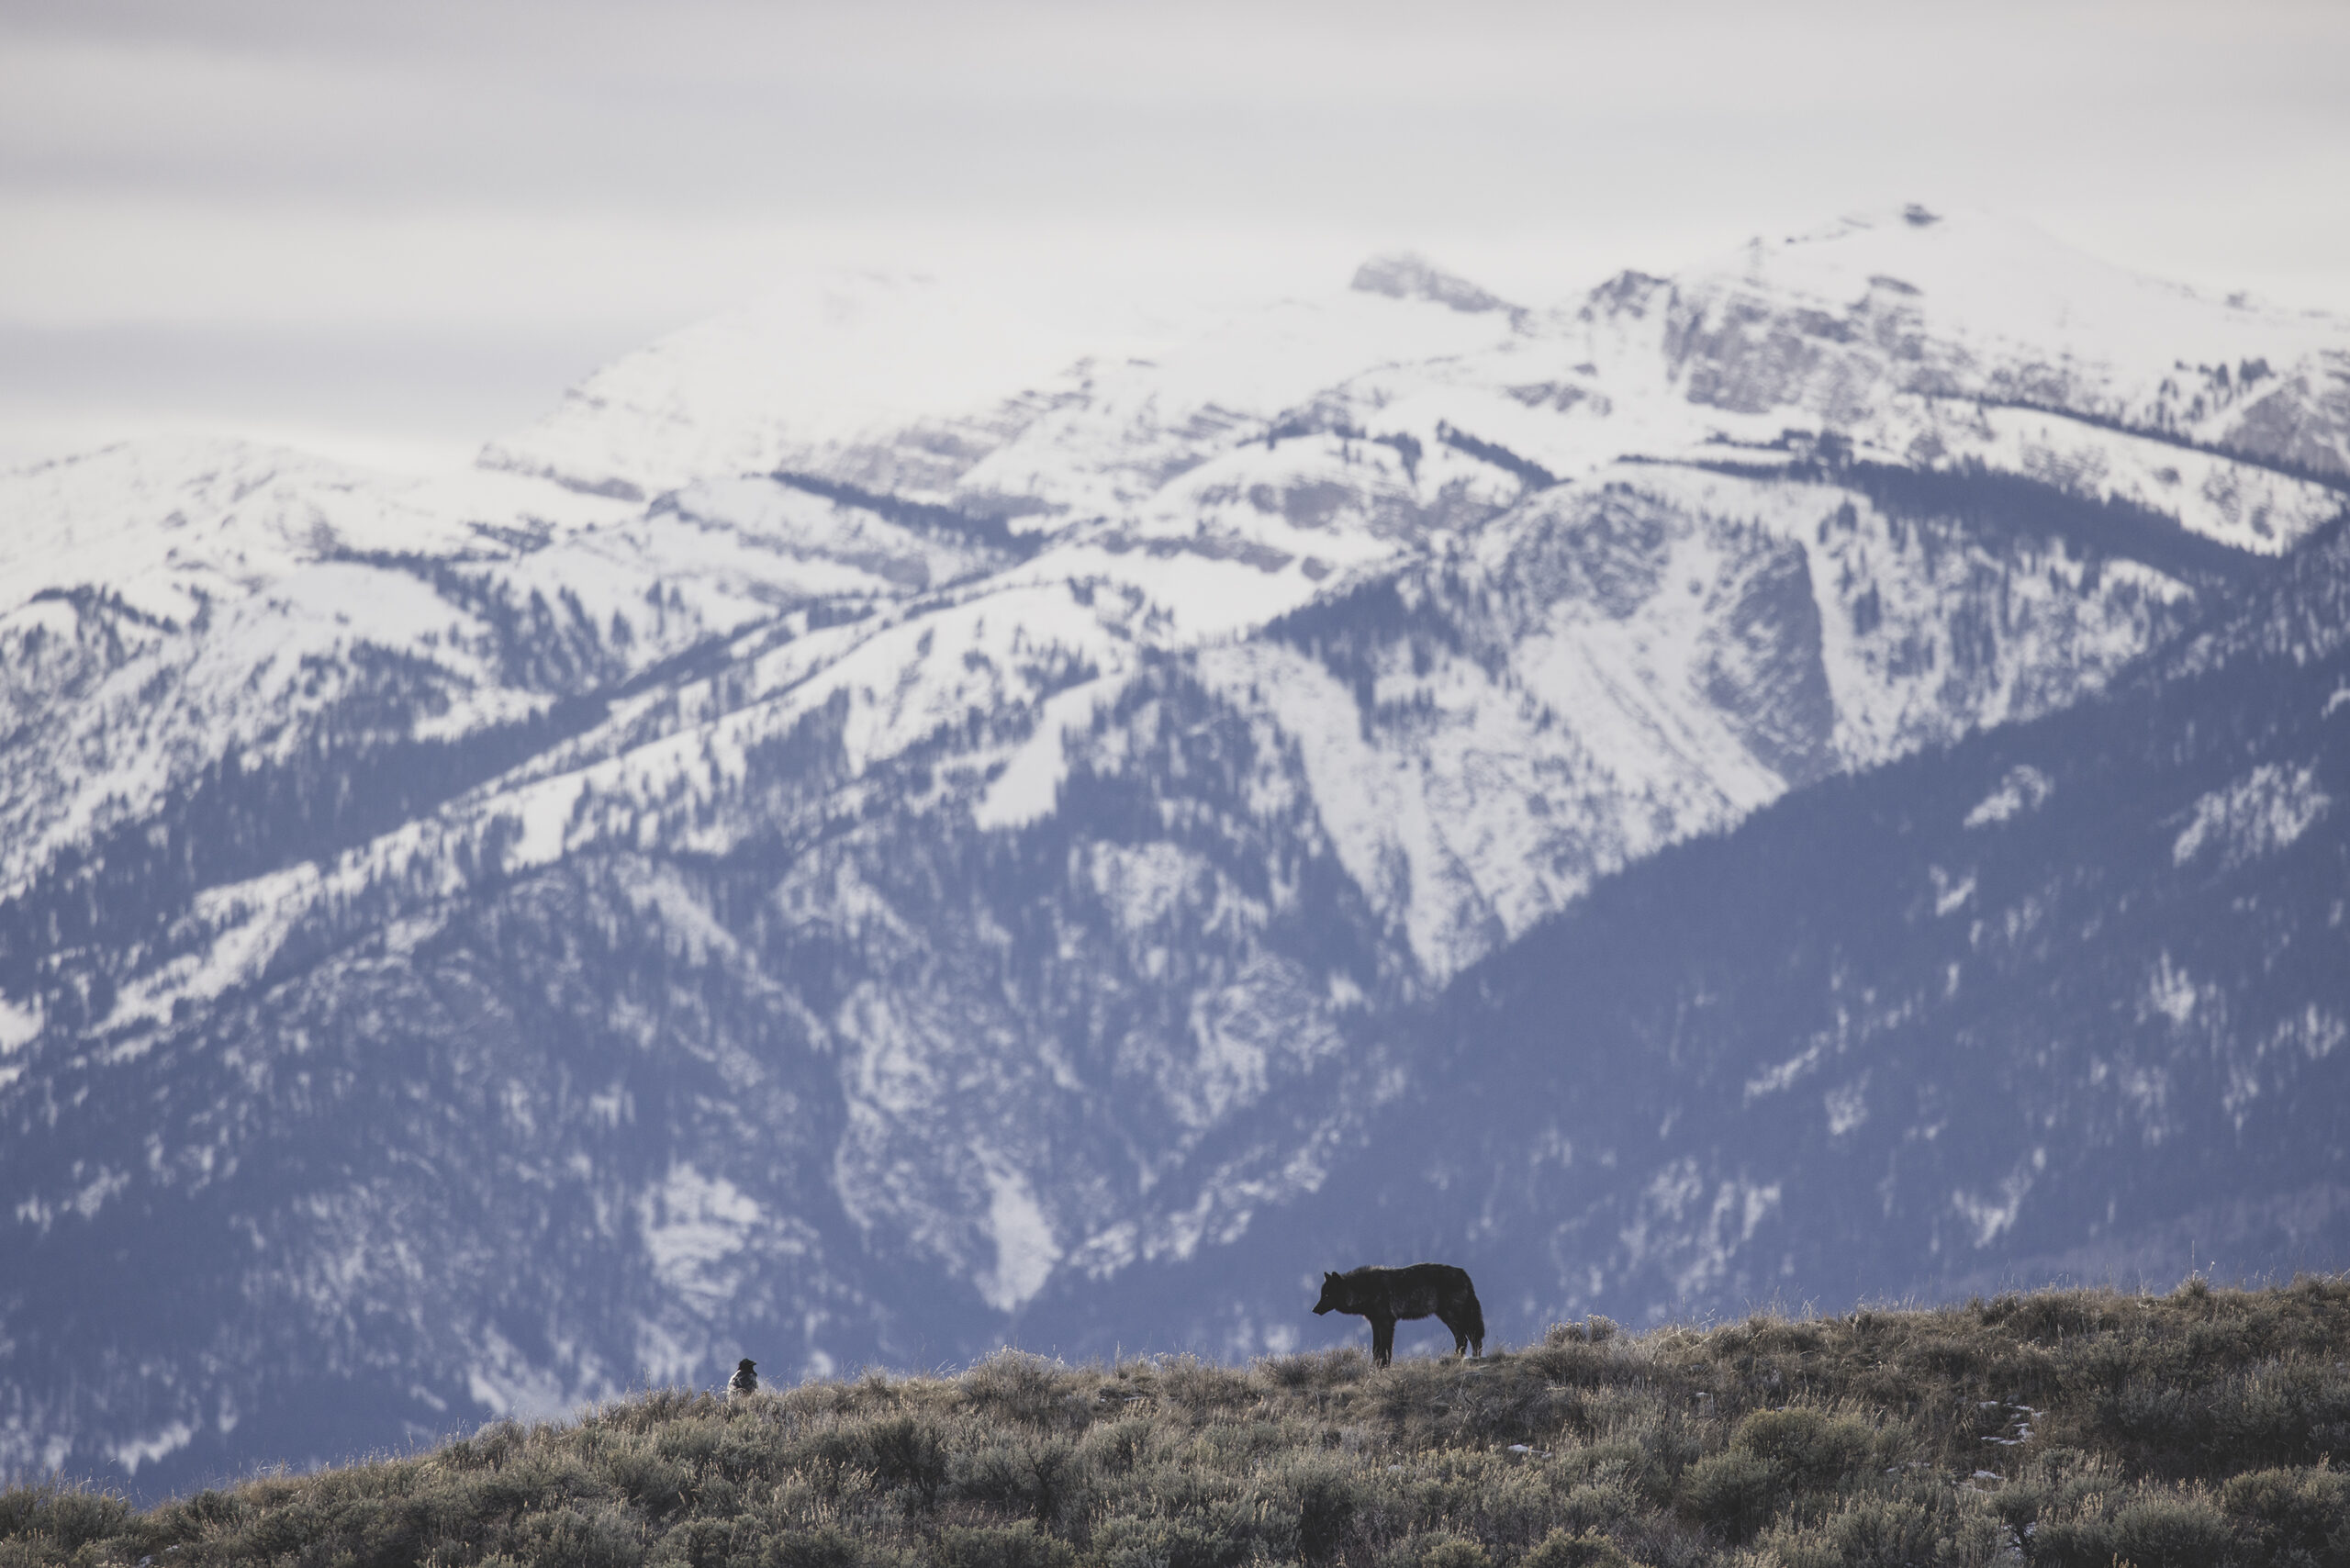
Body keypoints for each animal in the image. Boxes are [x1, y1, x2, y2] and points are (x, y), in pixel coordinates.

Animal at [1312, 1263, 1484, 1366]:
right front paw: (1375, 1368)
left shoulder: (1387, 1323)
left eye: (1327, 1295)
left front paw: (1384, 1367)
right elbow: (1376, 1349)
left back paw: (1460, 1358)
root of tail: (1464, 1274)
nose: (1314, 1310)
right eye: (1322, 1294)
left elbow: (1385, 1349)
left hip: (1451, 1317)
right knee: (1469, 1338)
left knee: (1466, 1337)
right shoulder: (1375, 1323)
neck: (1365, 1290)